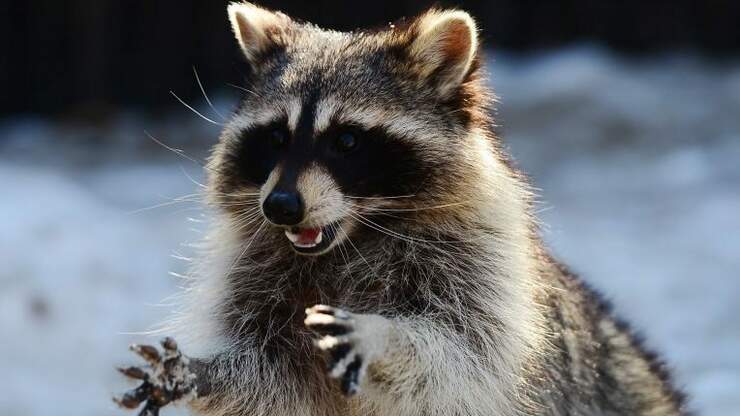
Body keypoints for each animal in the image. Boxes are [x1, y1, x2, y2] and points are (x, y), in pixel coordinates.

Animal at [116, 2, 688, 415]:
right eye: (276, 138)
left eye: (346, 141)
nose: (280, 206)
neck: (353, 237)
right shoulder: (254, 280)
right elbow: (267, 381)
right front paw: (203, 373)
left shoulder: (484, 273)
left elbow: (458, 359)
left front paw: (384, 337)